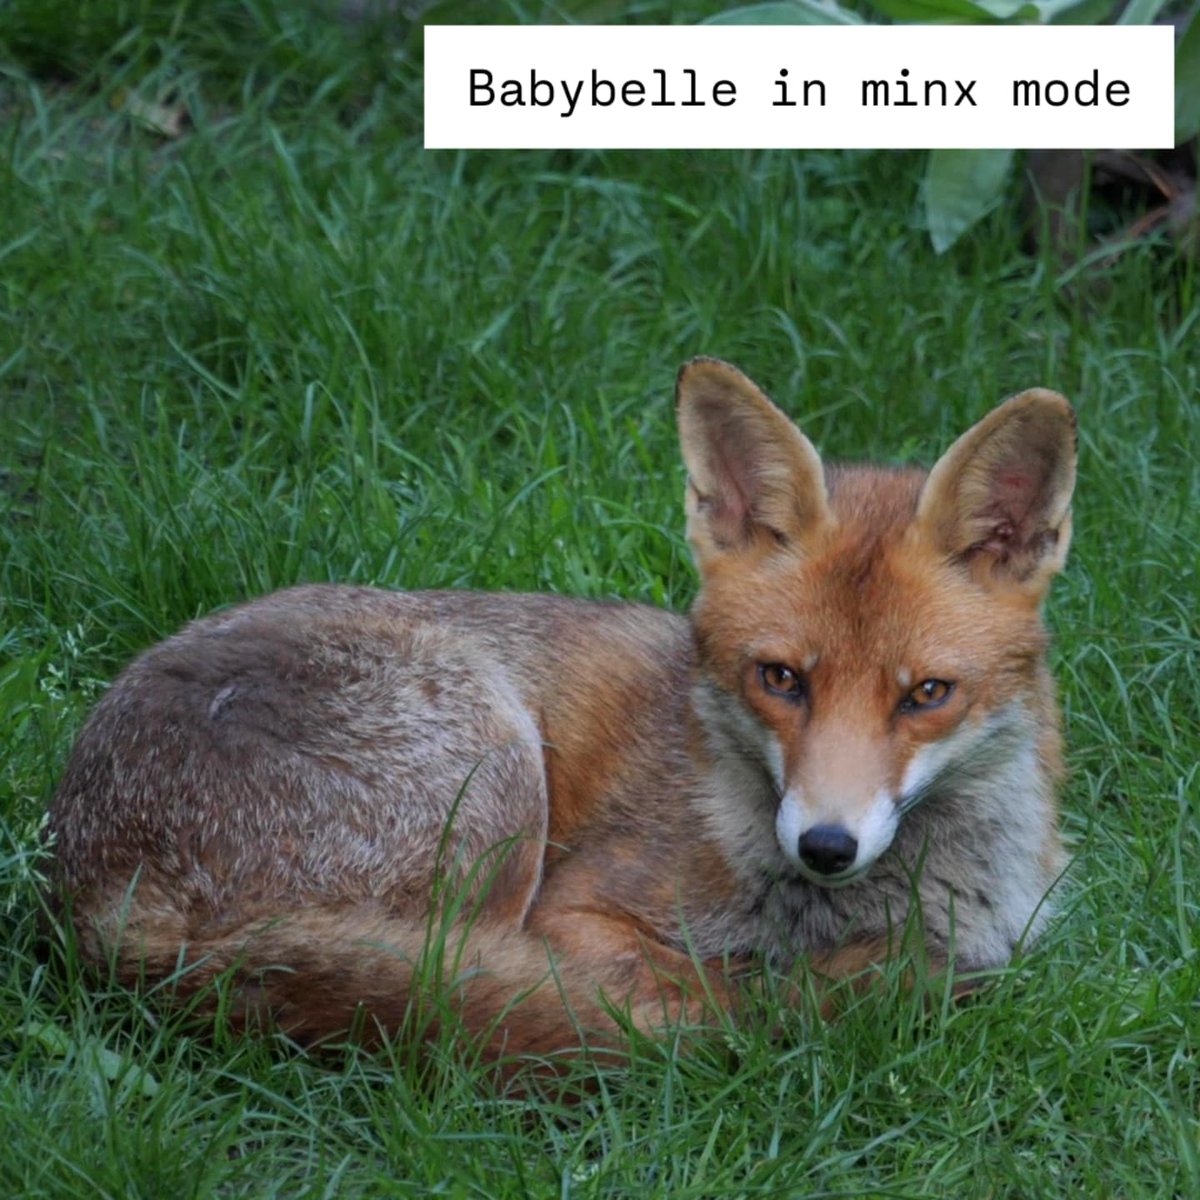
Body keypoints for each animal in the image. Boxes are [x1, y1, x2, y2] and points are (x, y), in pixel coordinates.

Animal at [48, 357, 1077, 1067]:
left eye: (926, 694)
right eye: (781, 679)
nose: (825, 845)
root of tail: (94, 897)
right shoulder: (576, 914)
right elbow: (700, 983)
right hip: (497, 788)